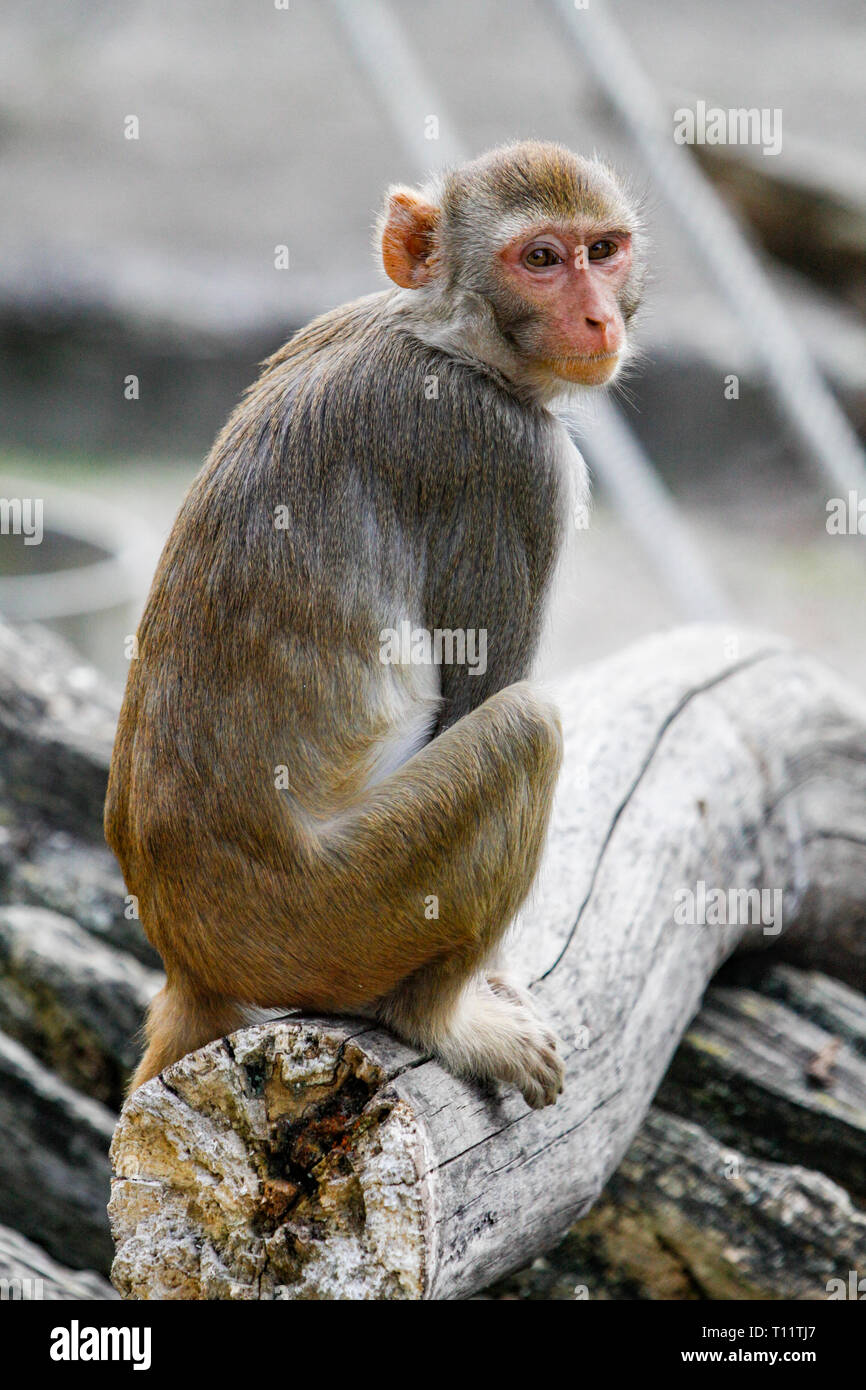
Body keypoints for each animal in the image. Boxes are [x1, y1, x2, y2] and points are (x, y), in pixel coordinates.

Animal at [105, 140, 643, 1109]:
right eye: (541, 258)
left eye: (604, 250)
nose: (597, 317)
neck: (440, 332)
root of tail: (186, 961)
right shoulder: (510, 459)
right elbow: (480, 693)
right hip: (335, 921)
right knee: (526, 728)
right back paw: (434, 1015)